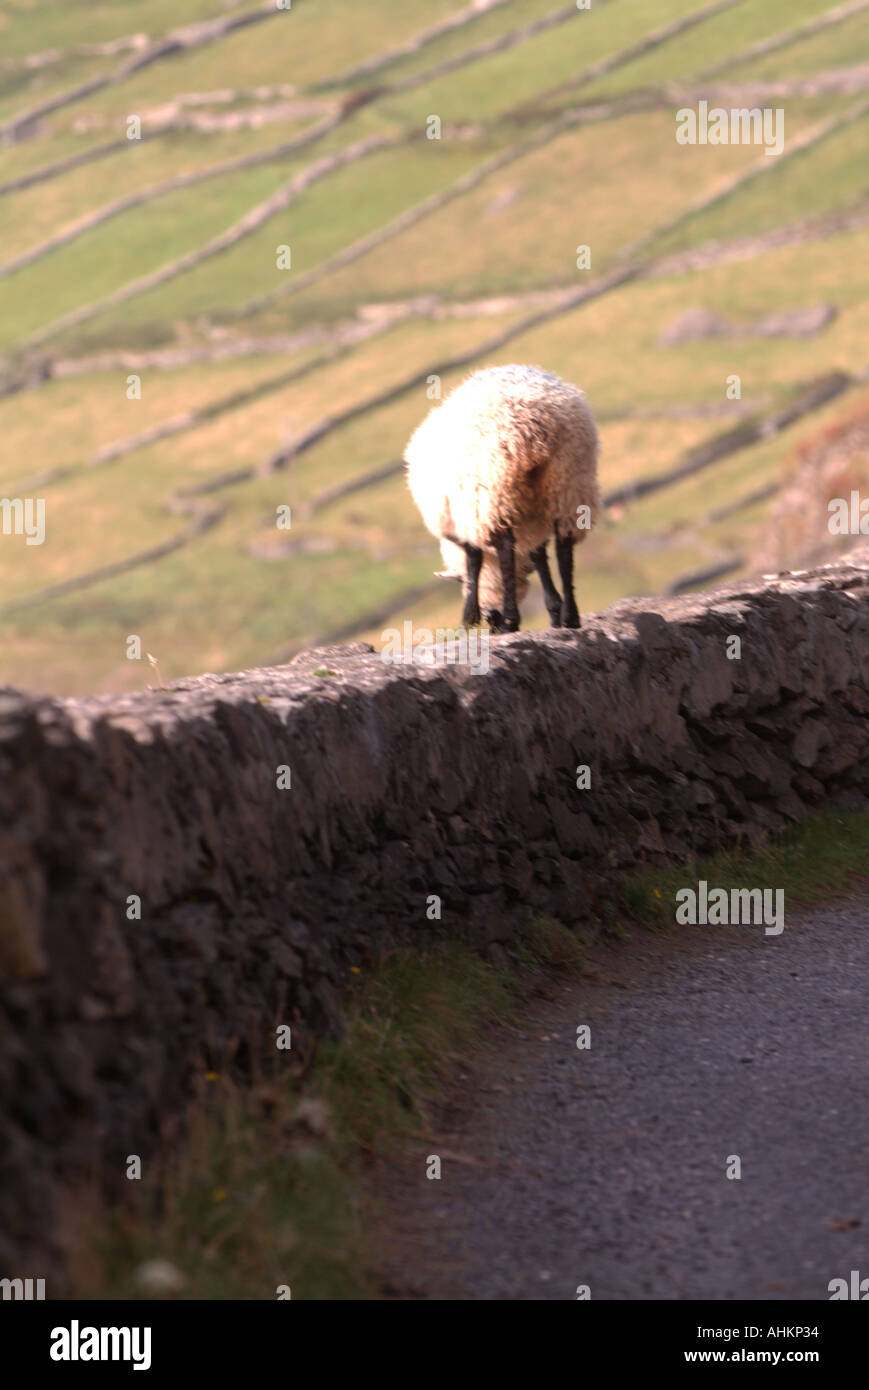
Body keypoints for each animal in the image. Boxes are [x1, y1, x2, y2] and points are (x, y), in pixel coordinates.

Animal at [405, 364, 600, 631]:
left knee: (505, 547)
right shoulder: (529, 520)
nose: (492, 620)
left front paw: (469, 616)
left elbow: (474, 559)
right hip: (568, 479)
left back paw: (511, 618)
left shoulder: (466, 518)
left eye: (460, 582)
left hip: (492, 490)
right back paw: (571, 617)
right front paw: (554, 610)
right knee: (564, 545)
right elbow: (539, 556)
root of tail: (537, 420)